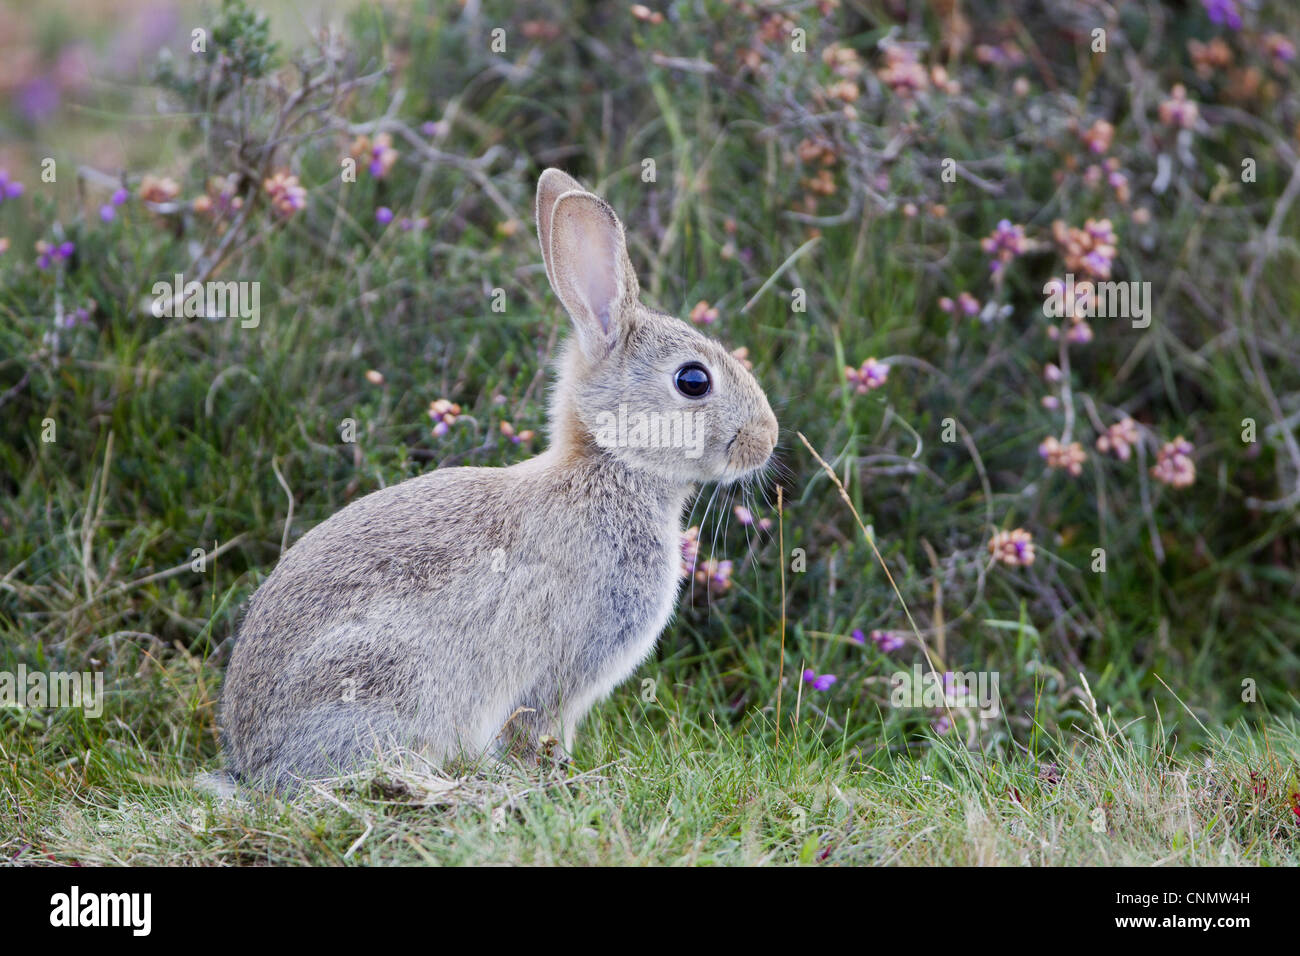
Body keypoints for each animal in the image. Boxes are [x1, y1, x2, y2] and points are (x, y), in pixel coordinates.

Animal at [219, 168, 779, 790]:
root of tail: (251, 762)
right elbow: (537, 726)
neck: (609, 467)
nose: (768, 438)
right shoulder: (558, 668)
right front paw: (554, 773)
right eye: (693, 380)